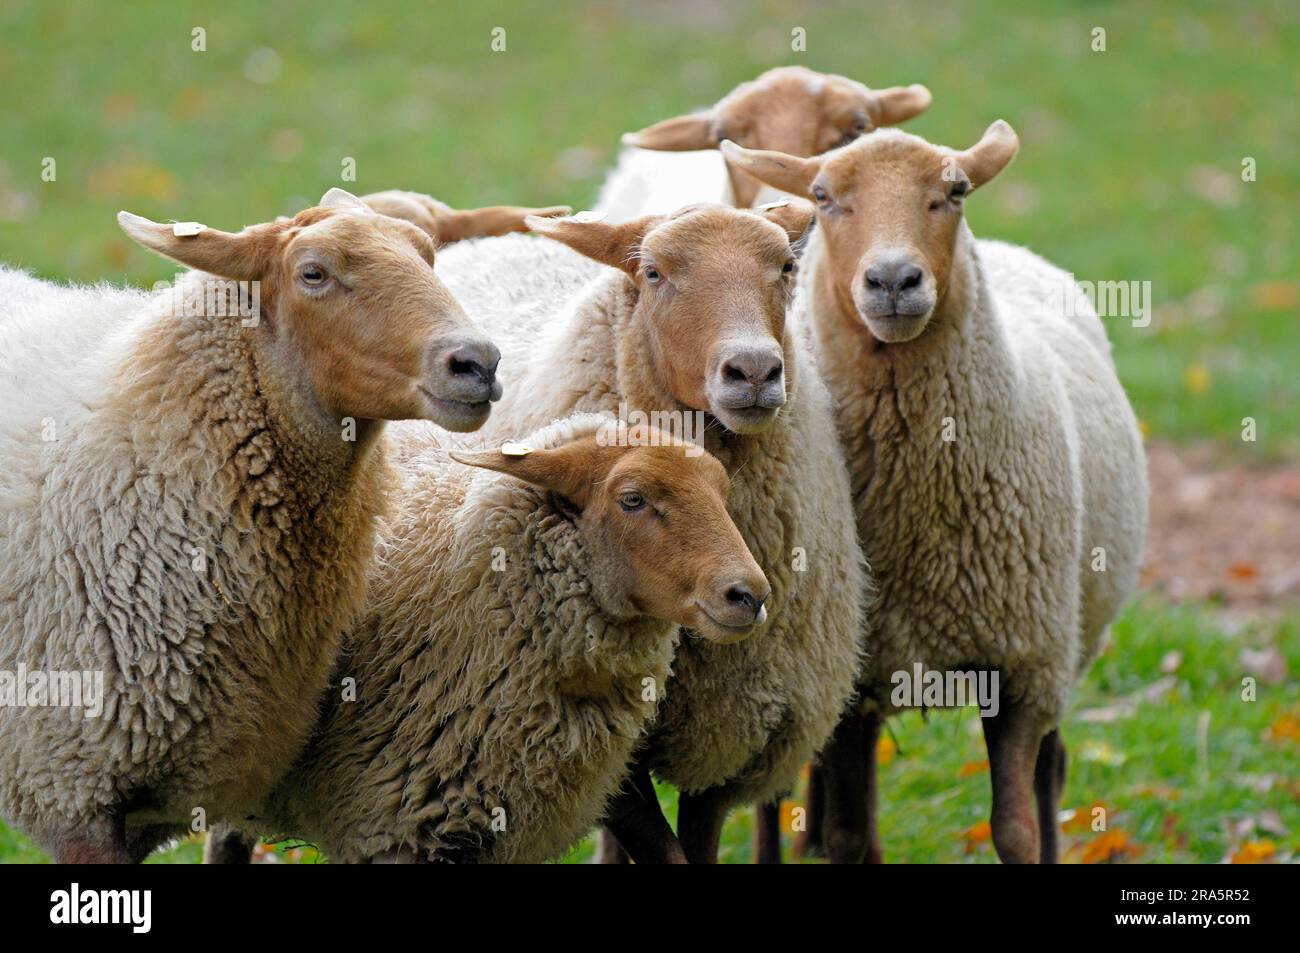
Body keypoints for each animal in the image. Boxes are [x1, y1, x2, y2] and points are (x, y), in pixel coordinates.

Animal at [722, 122, 1148, 863]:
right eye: (823, 196)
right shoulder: (855, 678)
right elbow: (849, 835)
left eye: (956, 192)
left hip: (1068, 640)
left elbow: (1015, 829)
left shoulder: (1024, 666)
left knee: (1053, 769)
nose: (894, 279)